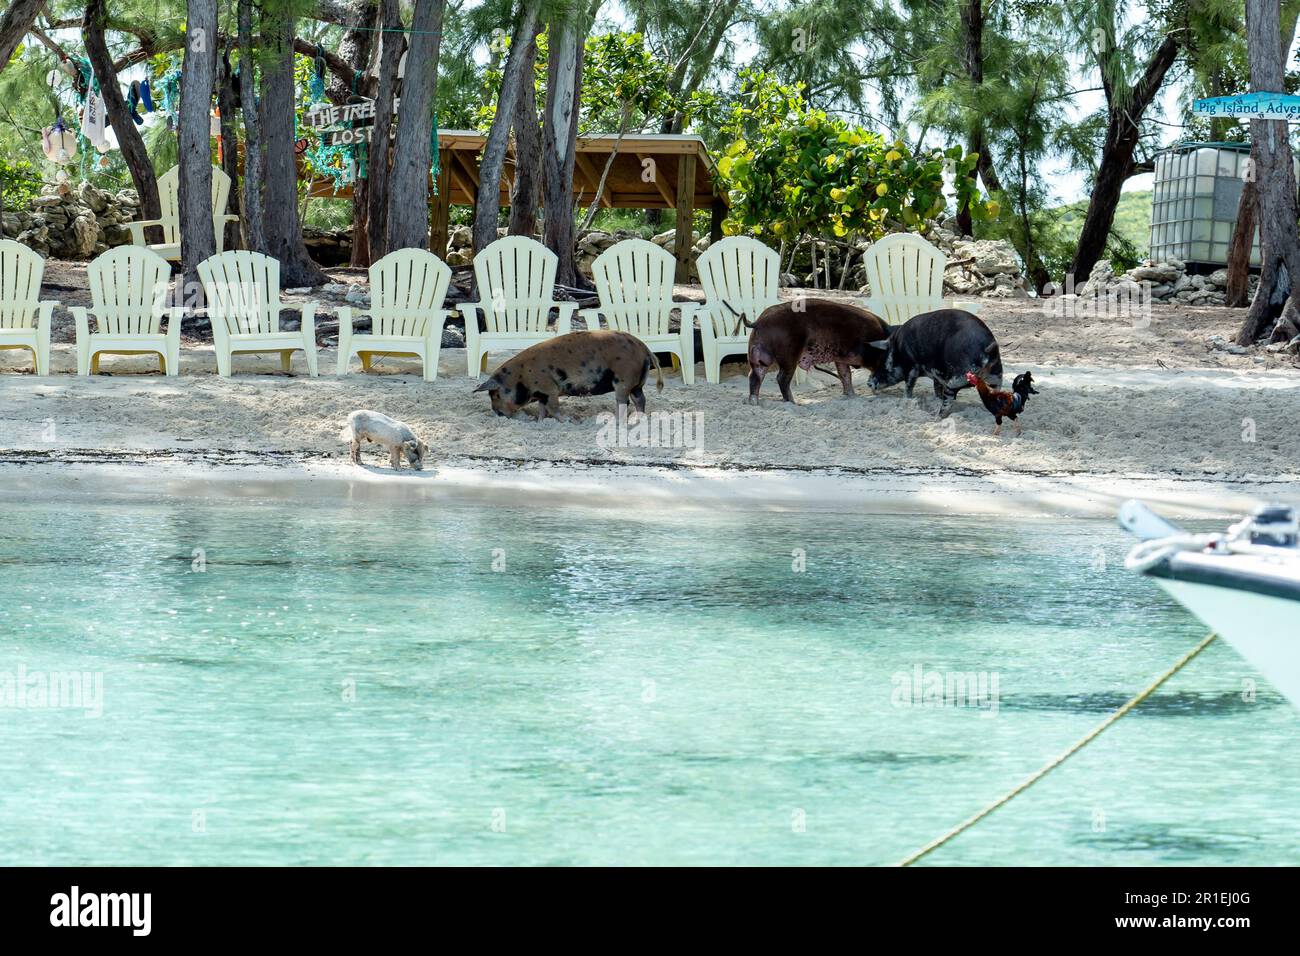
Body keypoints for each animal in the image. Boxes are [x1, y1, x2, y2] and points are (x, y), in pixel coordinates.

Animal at [473, 330, 663, 420]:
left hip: (623, 380)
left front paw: (571, 420)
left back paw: (616, 420)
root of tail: (644, 347)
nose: (496, 412)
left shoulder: (549, 388)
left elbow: (553, 407)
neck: (520, 377)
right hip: (636, 384)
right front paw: (539, 421)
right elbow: (542, 409)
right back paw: (639, 418)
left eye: (494, 394)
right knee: (640, 400)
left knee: (624, 402)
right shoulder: (541, 392)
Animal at [746, 299, 892, 403]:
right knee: (781, 379)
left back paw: (753, 402)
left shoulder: (840, 359)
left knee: (754, 376)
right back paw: (793, 402)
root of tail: (759, 322)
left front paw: (851, 396)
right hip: (789, 355)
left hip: (758, 357)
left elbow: (845, 375)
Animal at [866, 308, 1003, 418]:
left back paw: (937, 416)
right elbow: (936, 387)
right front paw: (936, 398)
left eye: (881, 360)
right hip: (996, 377)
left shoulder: (913, 366)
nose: (868, 383)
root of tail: (988, 350)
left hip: (956, 379)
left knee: (948, 401)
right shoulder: (937, 374)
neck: (899, 349)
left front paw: (907, 399)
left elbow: (909, 385)